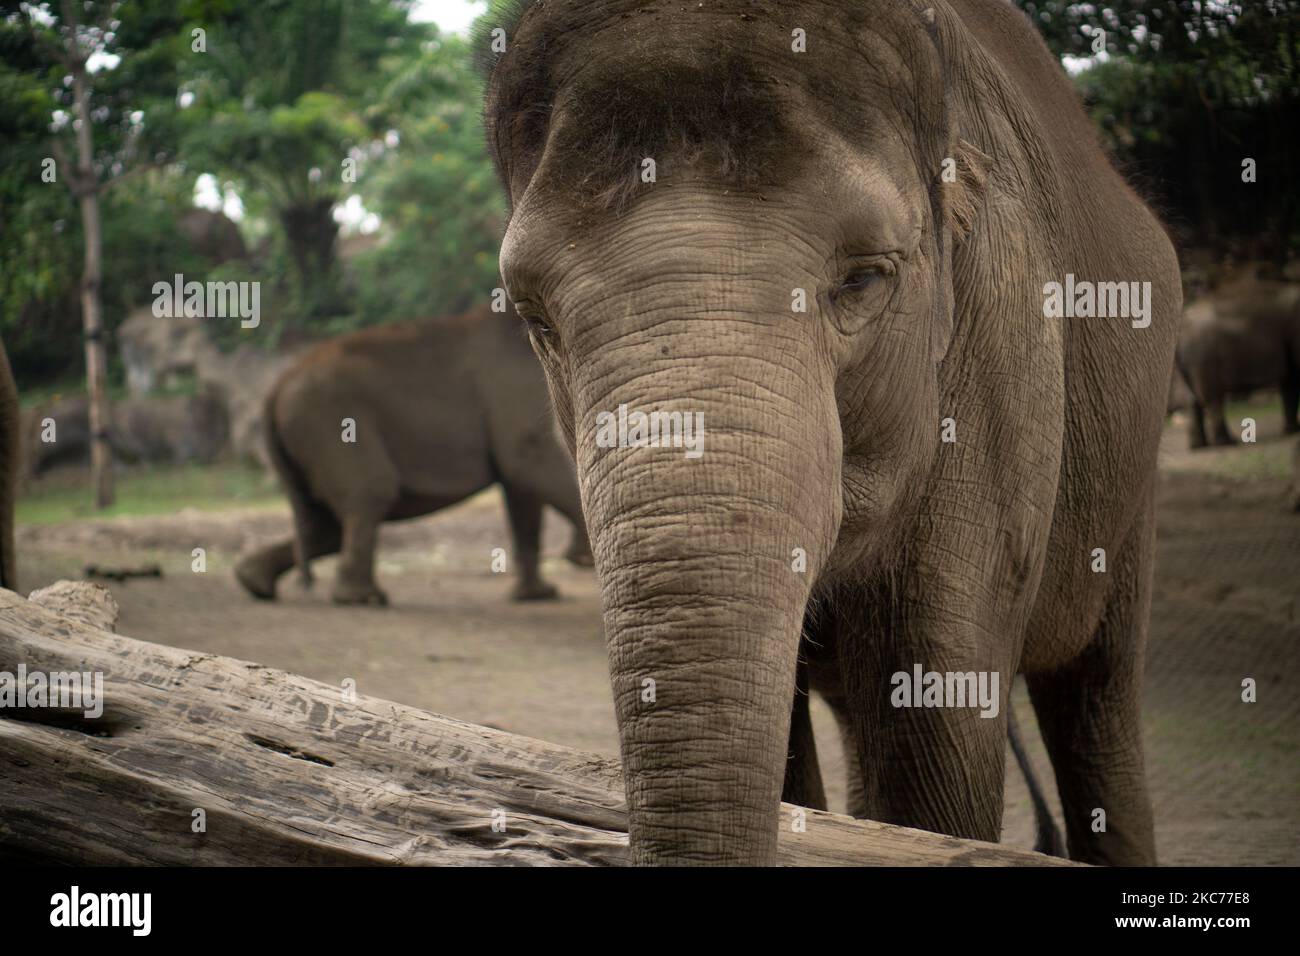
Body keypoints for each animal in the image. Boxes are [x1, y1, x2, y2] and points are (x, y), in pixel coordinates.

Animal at [234, 304, 592, 606]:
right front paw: (580, 559)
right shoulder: (515, 389)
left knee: (324, 525)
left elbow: (520, 487)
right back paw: (361, 599)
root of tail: (276, 388)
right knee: (371, 494)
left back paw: (255, 582)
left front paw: (538, 595)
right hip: (330, 425)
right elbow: (527, 464)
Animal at [480, 0, 1182, 865]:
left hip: (1133, 475)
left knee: (1098, 697)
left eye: (863, 278)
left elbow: (930, 721)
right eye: (534, 316)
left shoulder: (1003, 342)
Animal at [1174, 276, 1300, 448]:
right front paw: (1294, 431)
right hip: (1204, 359)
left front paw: (1291, 430)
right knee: (1212, 399)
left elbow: (1290, 382)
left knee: (1192, 400)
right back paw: (1227, 442)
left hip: (1189, 364)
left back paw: (1198, 446)